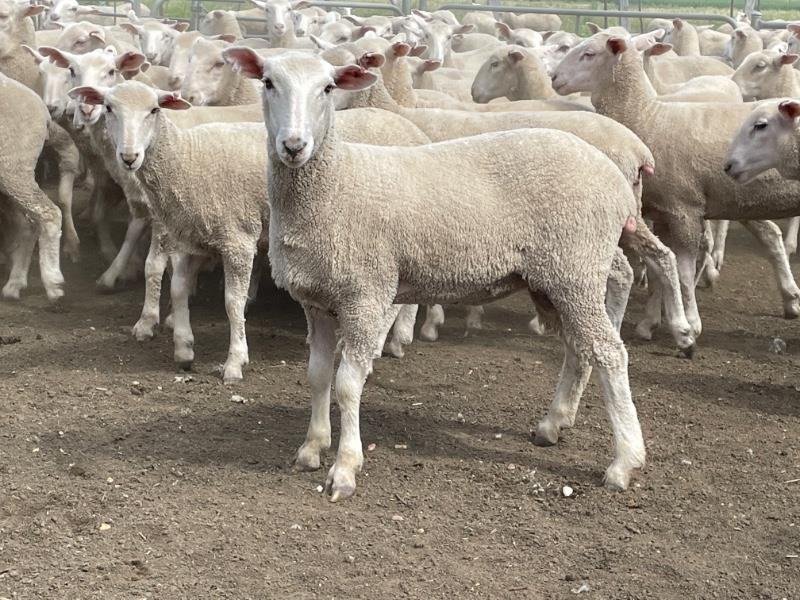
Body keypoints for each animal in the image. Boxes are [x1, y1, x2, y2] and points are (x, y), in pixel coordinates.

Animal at [225, 48, 647, 500]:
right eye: (268, 82)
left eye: (328, 88)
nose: (294, 146)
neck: (334, 182)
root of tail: (616, 179)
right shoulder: (316, 299)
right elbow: (318, 376)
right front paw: (311, 447)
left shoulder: (365, 292)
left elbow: (347, 384)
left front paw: (345, 467)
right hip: (557, 279)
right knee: (578, 347)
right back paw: (553, 424)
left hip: (577, 266)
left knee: (610, 353)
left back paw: (625, 461)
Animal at [552, 31, 800, 339]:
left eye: (589, 54)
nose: (553, 77)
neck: (647, 116)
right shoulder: (663, 210)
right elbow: (659, 268)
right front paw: (651, 321)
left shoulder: (685, 209)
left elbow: (681, 271)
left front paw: (690, 324)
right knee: (771, 236)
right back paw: (790, 299)